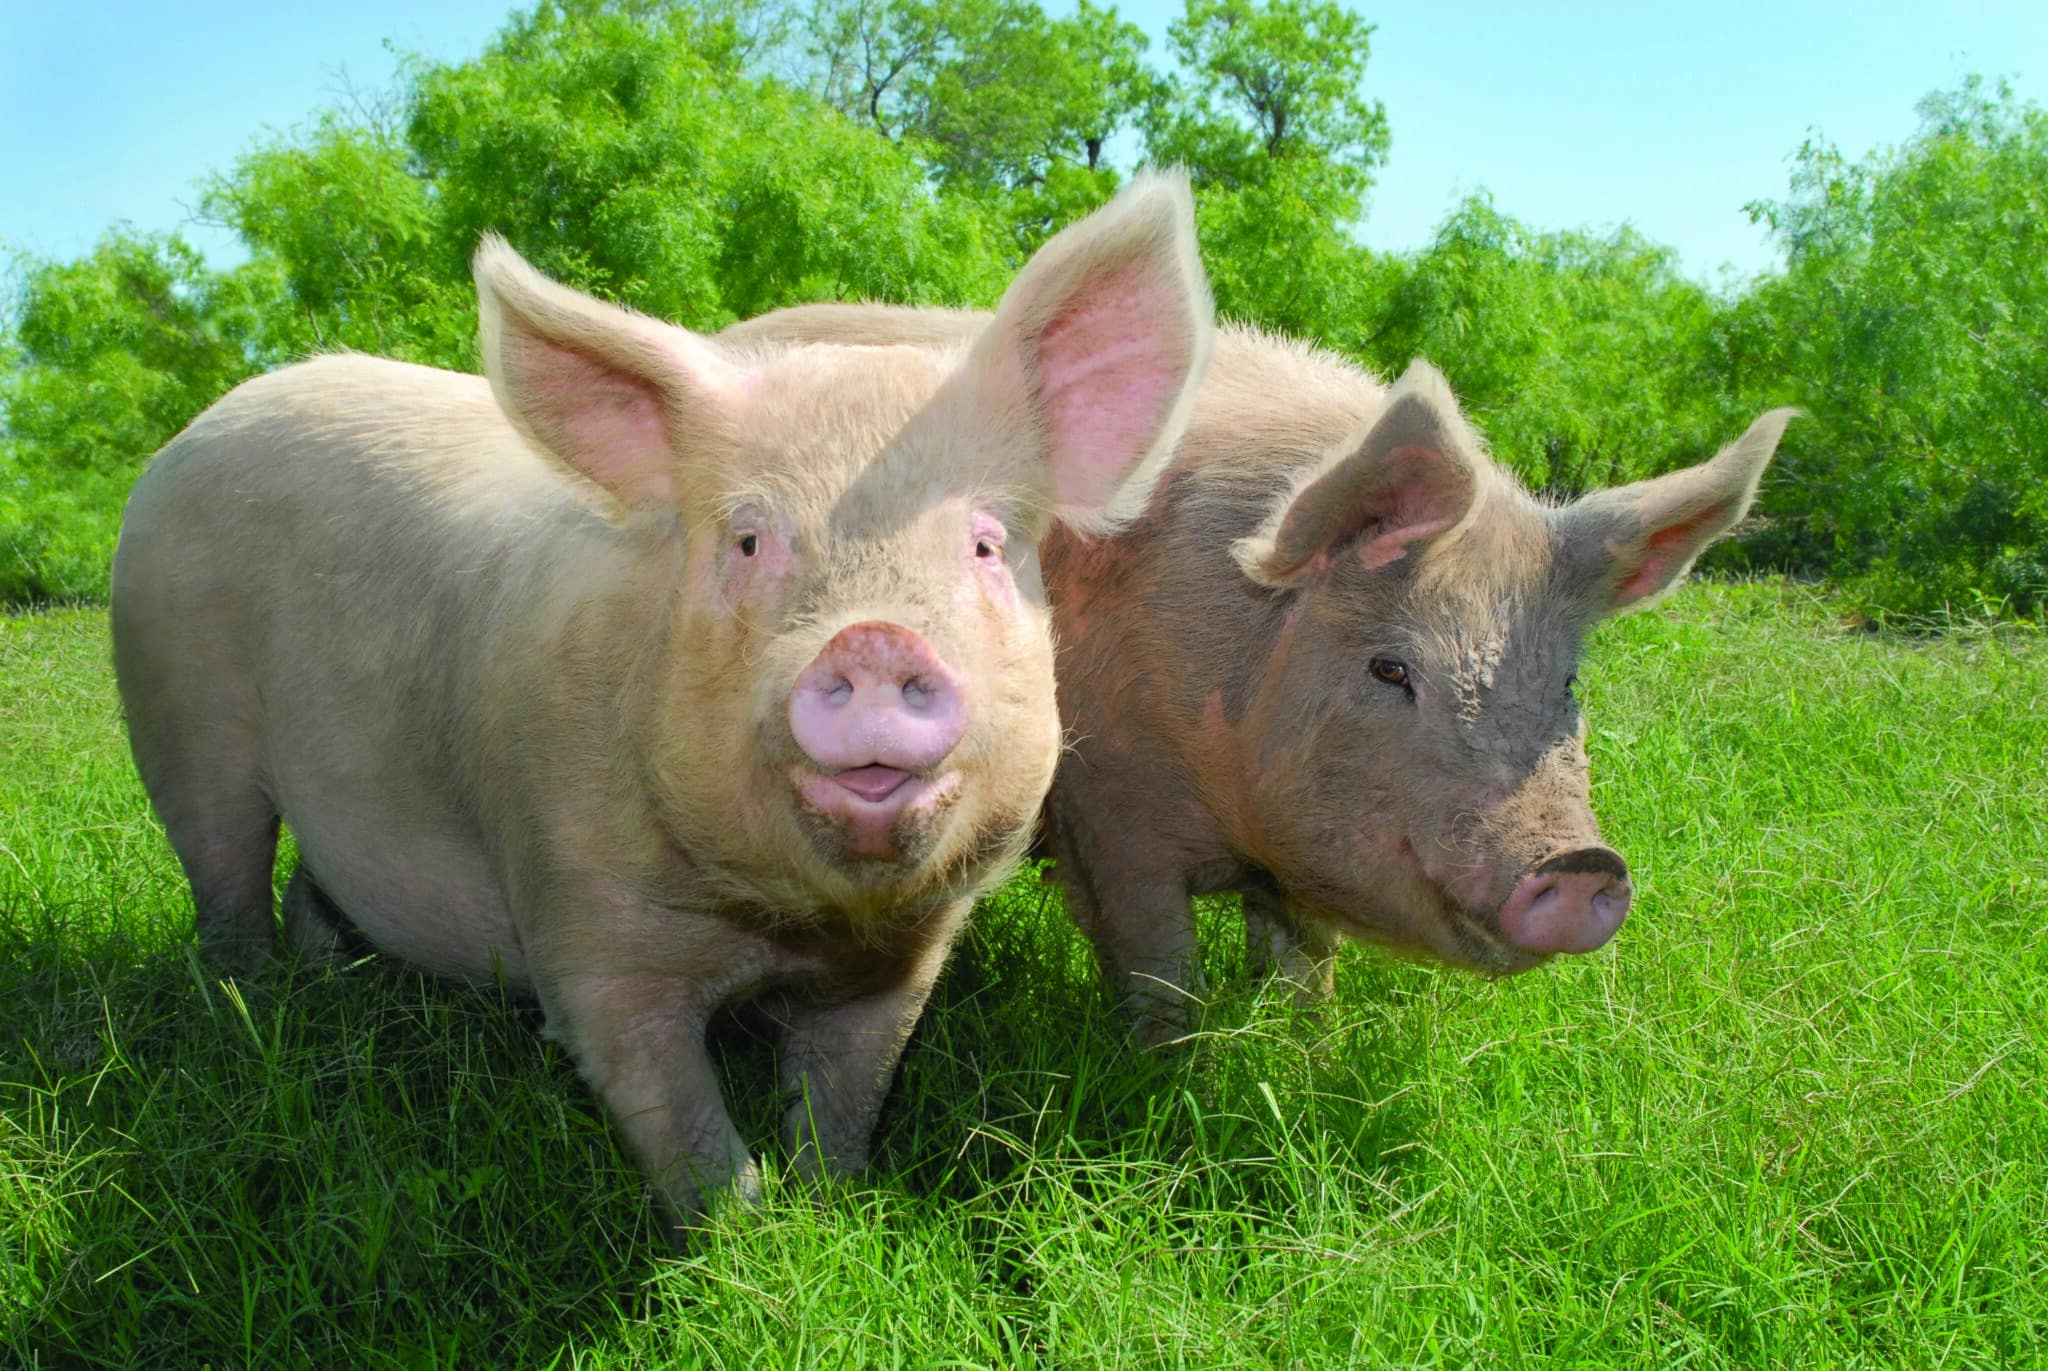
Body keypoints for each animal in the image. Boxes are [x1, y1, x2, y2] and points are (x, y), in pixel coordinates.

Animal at [109, 173, 1214, 1223]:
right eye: (747, 539)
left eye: (984, 543)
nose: (870, 637)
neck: (783, 925)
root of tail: (200, 427)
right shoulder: (583, 935)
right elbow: (681, 1125)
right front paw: (742, 1240)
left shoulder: (904, 962)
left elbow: (844, 1098)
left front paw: (833, 1208)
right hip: (172, 707)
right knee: (224, 878)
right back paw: (254, 1013)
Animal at [722, 307, 1794, 1041]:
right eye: (1391, 668)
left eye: (1567, 684)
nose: (1579, 866)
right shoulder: (1108, 808)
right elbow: (1159, 967)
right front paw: (1162, 1079)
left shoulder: (1294, 863)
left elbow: (1304, 970)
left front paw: (1303, 1052)